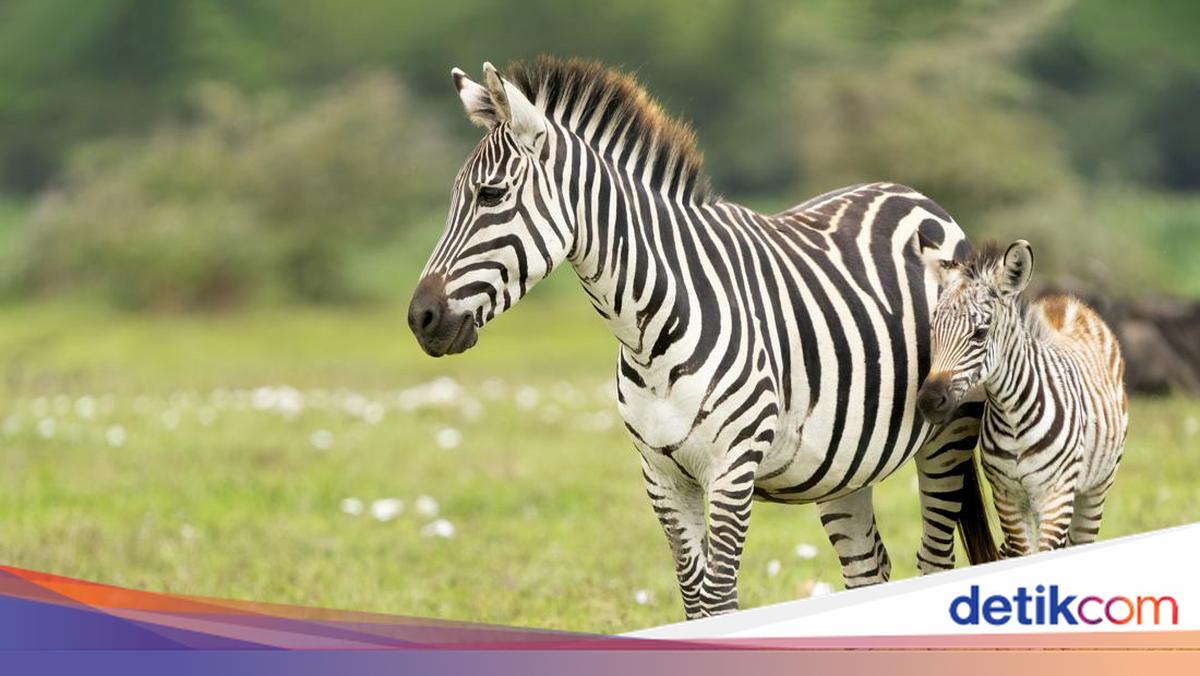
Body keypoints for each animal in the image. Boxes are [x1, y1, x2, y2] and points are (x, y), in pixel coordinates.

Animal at [408, 57, 997, 619]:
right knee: (867, 568)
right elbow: (694, 598)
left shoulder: (732, 468)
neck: (647, 331)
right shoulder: (662, 475)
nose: (420, 319)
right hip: (843, 464)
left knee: (933, 558)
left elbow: (718, 594)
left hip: (948, 434)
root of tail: (912, 194)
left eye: (491, 195)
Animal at [916, 240, 1129, 555]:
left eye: (980, 334)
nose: (929, 401)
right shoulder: (1007, 497)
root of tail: (1068, 301)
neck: (1012, 415)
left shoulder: (1056, 496)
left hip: (1095, 488)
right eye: (933, 329)